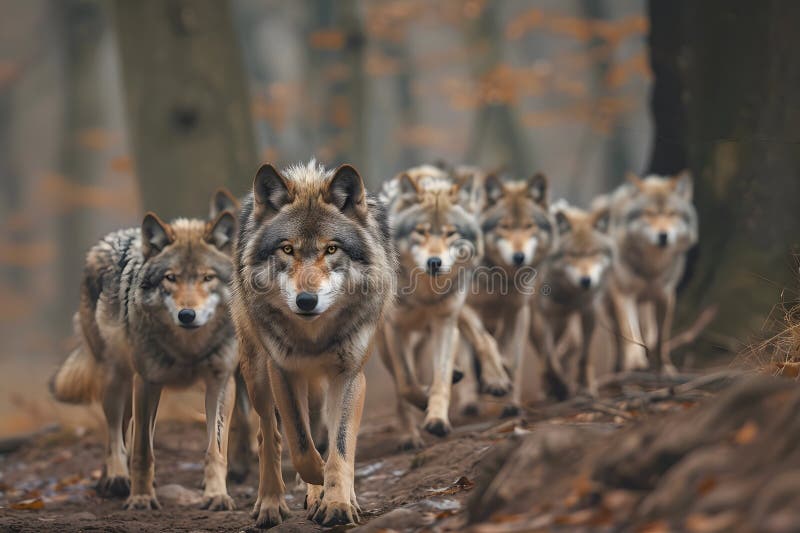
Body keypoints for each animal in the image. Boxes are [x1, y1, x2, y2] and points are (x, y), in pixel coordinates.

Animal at [50, 194, 239, 511]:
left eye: (207, 277)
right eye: (171, 278)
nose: (187, 315)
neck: (188, 348)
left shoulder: (221, 384)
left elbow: (216, 450)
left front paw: (216, 495)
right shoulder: (147, 382)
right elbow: (141, 451)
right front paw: (140, 498)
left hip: (142, 391)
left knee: (134, 429)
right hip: (118, 381)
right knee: (115, 434)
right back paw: (116, 479)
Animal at [232, 161, 394, 527]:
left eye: (331, 249)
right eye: (287, 249)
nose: (306, 300)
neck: (314, 336)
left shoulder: (349, 375)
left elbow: (340, 446)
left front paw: (337, 502)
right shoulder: (283, 372)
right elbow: (302, 445)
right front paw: (319, 481)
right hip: (257, 376)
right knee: (269, 435)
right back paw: (271, 504)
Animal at [466, 172, 555, 415]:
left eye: (529, 226)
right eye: (504, 226)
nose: (519, 256)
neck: (501, 280)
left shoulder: (516, 312)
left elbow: (511, 357)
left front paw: (511, 403)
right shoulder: (464, 308)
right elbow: (486, 342)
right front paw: (496, 380)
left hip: (536, 324)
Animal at [530, 201, 614, 398]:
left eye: (593, 253)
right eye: (572, 254)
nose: (586, 280)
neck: (570, 294)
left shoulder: (590, 312)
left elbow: (585, 354)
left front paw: (587, 387)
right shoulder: (543, 316)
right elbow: (549, 357)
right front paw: (559, 386)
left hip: (564, 325)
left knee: (570, 346)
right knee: (546, 354)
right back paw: (549, 388)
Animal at [603, 171, 698, 373]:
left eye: (671, 214)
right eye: (649, 213)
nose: (663, 235)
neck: (652, 268)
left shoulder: (666, 295)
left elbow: (663, 337)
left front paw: (665, 368)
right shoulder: (624, 295)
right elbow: (630, 333)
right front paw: (636, 363)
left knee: (650, 333)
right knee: (617, 339)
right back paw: (618, 367)